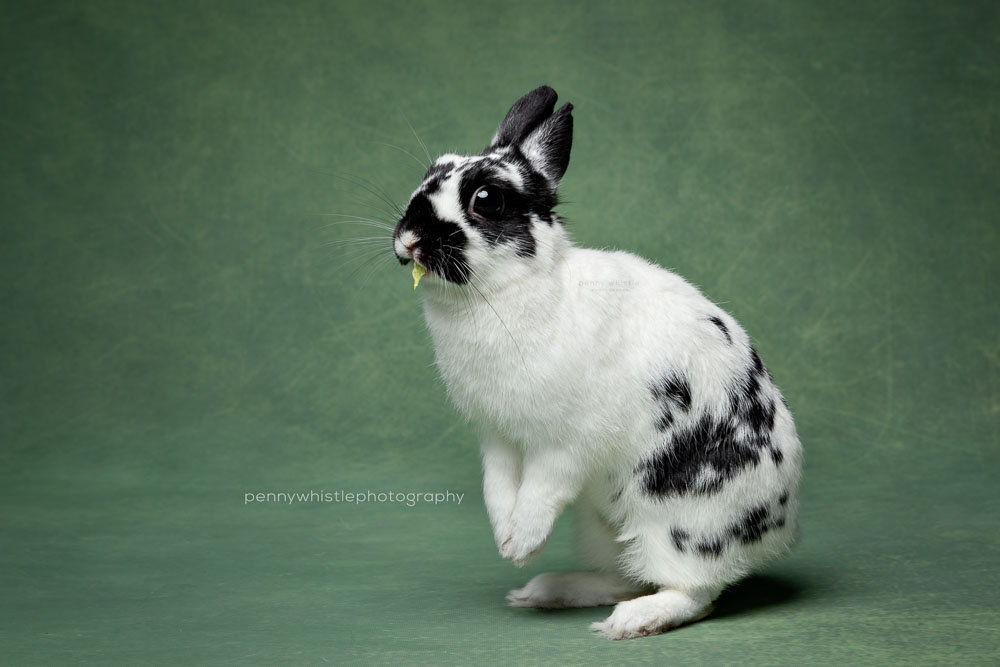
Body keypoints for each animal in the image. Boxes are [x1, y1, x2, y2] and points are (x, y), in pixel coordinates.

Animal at [391, 85, 802, 639]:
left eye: (488, 199)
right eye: (433, 169)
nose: (409, 238)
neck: (507, 293)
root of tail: (782, 529)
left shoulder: (567, 445)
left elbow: (541, 491)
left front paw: (522, 544)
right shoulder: (498, 438)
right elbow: (498, 489)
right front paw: (506, 541)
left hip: (681, 528)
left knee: (693, 593)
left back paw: (628, 622)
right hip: (599, 524)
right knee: (626, 576)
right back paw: (543, 591)